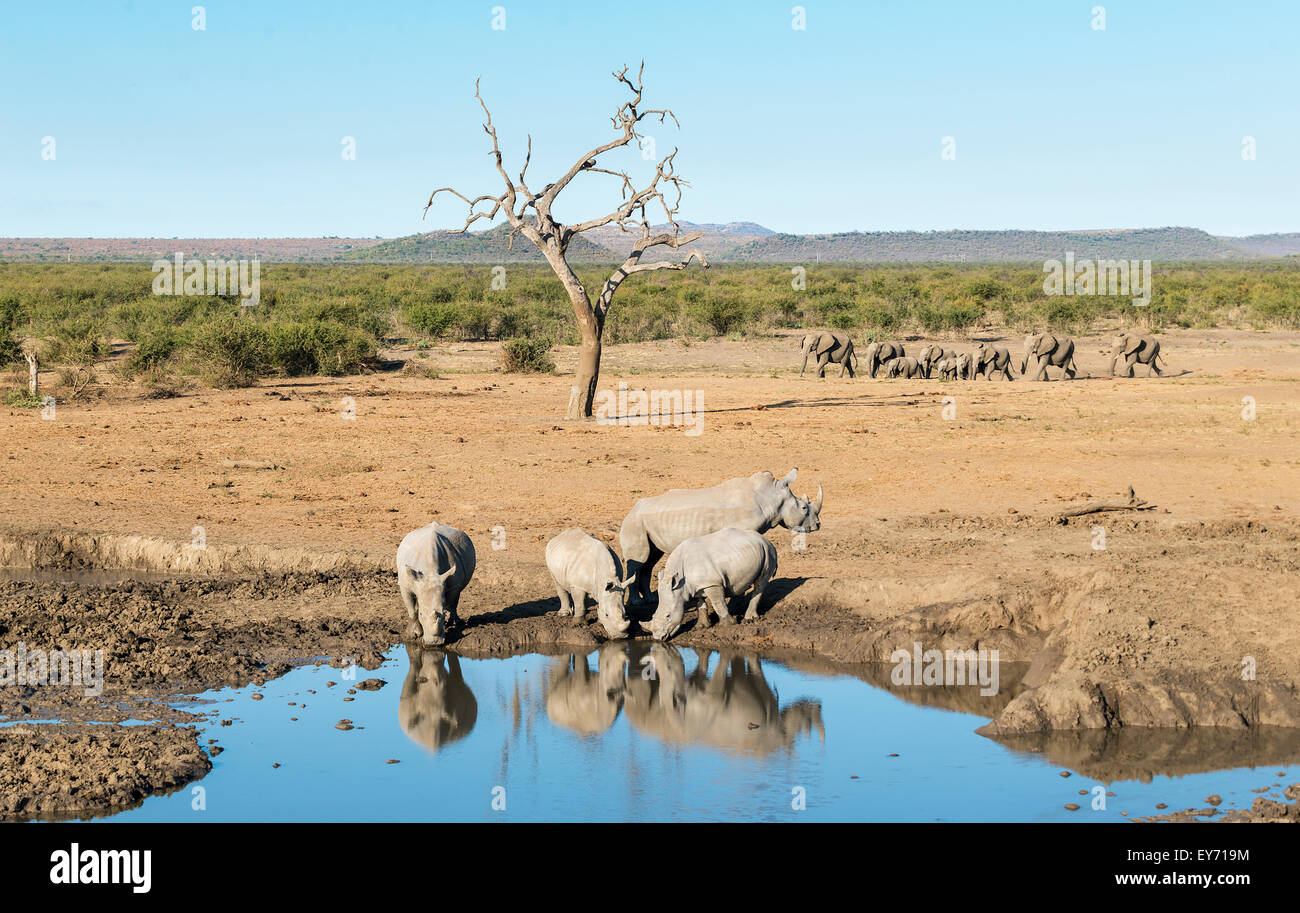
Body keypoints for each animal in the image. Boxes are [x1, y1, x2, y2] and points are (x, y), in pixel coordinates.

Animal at [619, 468, 821, 604]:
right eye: (804, 508)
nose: (817, 525)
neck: (770, 497)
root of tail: (632, 509)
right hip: (634, 522)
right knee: (638, 561)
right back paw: (637, 602)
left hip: (647, 522)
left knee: (650, 559)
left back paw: (651, 600)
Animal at [647, 527, 779, 641]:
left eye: (668, 615)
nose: (659, 637)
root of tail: (764, 538)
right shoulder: (694, 587)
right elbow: (700, 604)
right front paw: (701, 626)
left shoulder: (712, 583)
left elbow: (717, 603)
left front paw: (728, 625)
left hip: (768, 551)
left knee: (760, 582)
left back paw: (749, 618)